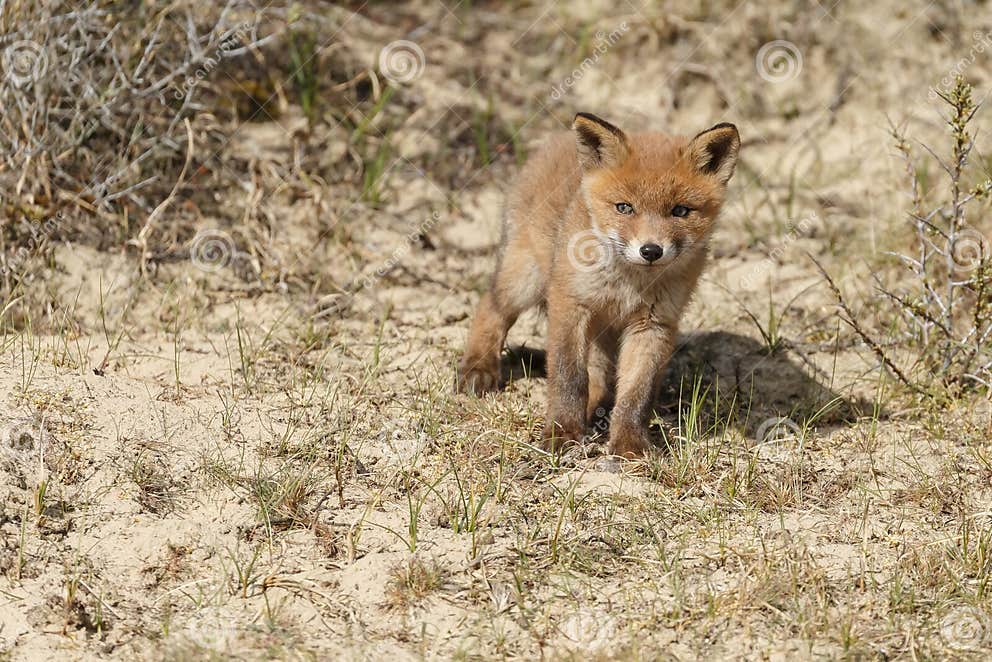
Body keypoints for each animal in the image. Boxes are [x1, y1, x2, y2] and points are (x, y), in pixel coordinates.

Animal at [457, 112, 740, 458]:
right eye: (624, 207)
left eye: (680, 211)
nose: (651, 251)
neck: (627, 284)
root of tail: (555, 140)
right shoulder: (570, 303)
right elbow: (568, 378)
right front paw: (562, 433)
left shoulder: (654, 323)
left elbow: (636, 394)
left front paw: (629, 445)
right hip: (525, 280)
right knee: (490, 308)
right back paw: (478, 368)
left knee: (601, 377)